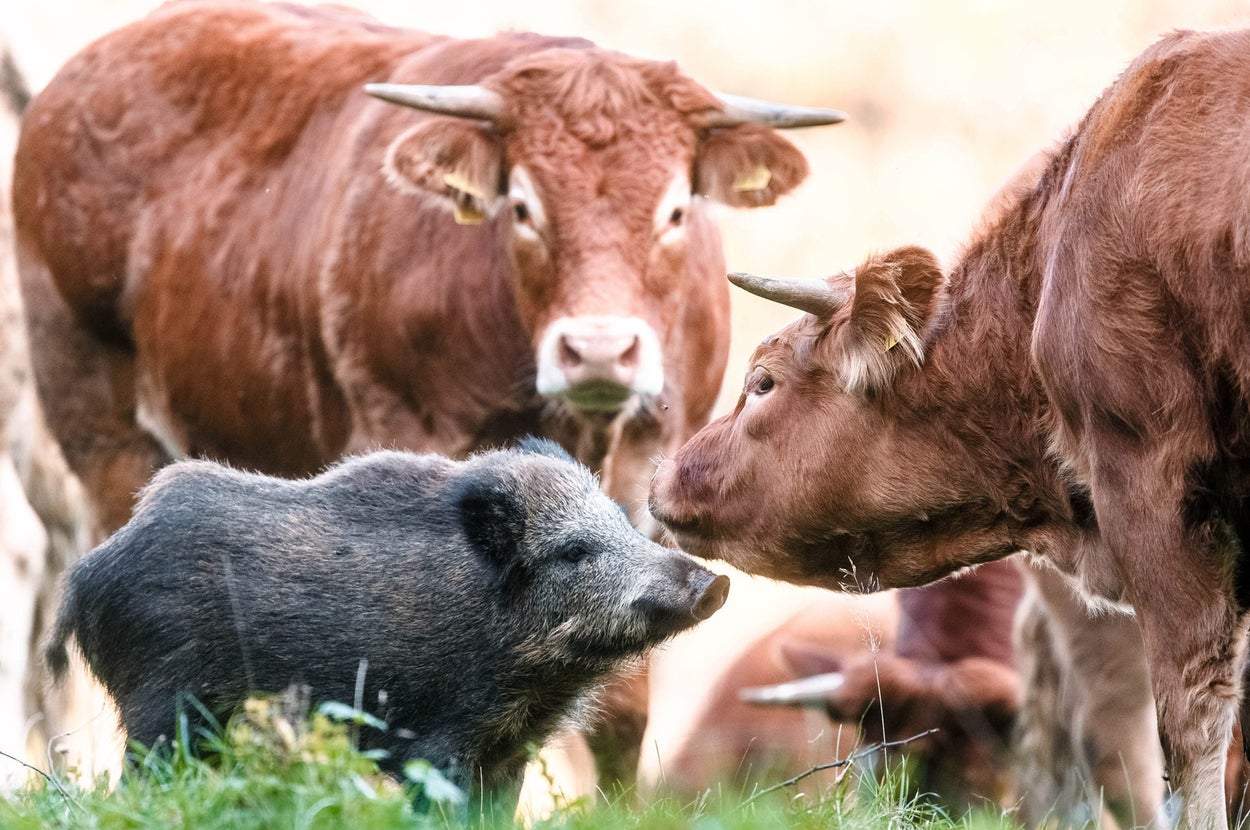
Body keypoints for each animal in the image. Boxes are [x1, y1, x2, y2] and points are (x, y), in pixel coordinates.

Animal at [43, 438, 729, 796]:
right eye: (574, 552)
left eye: (620, 519)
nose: (714, 582)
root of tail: (83, 576)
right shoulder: (440, 743)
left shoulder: (509, 756)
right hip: (165, 704)